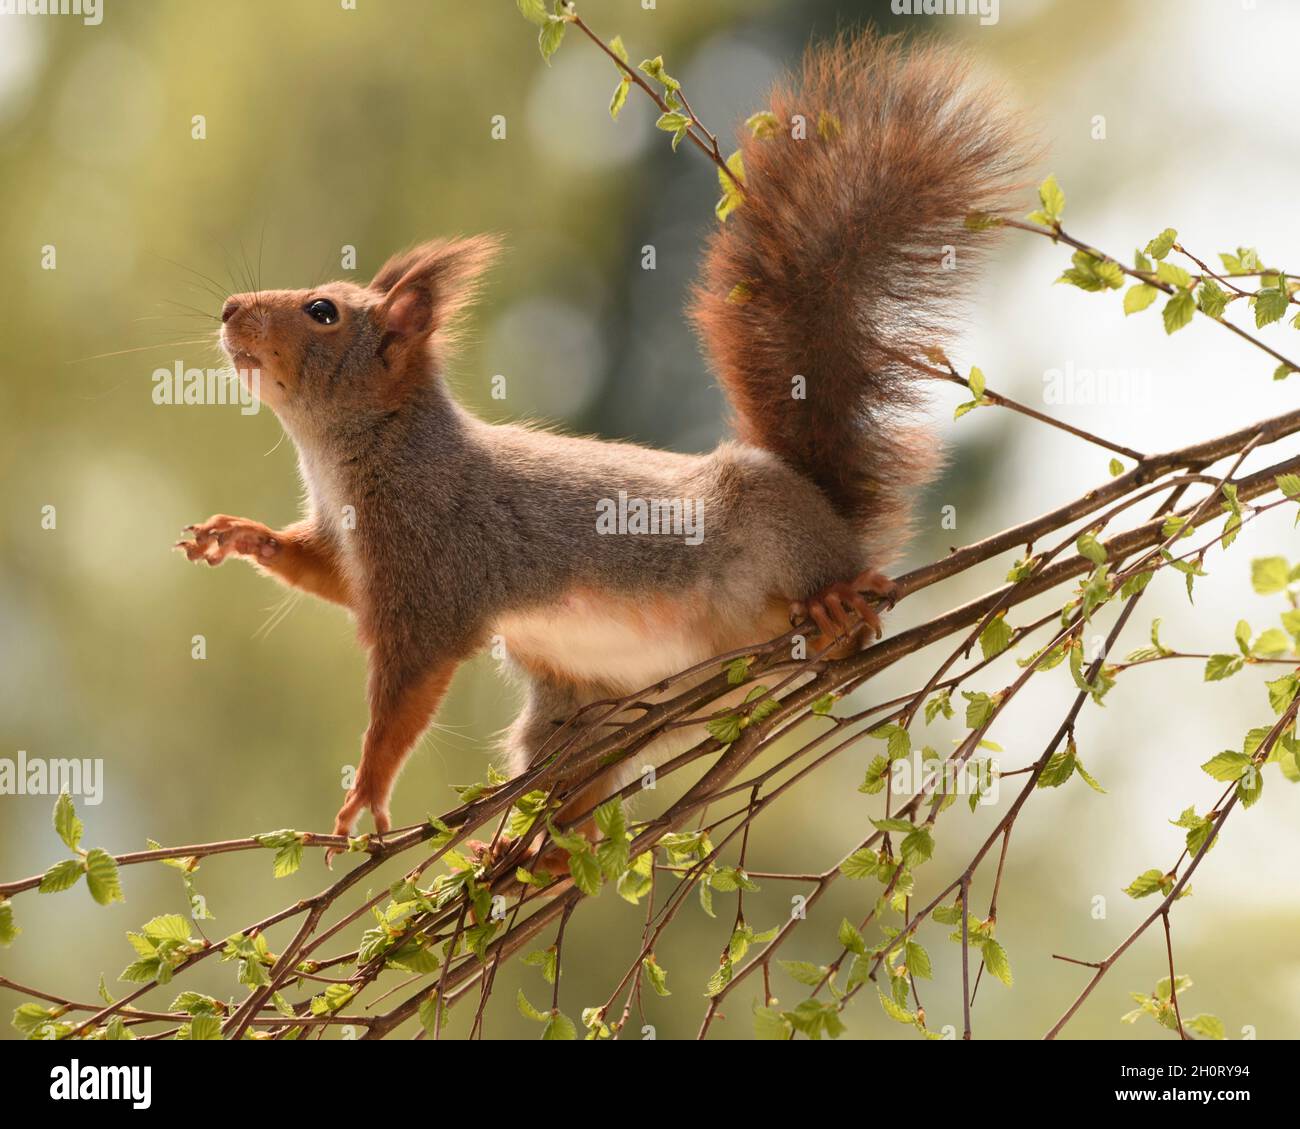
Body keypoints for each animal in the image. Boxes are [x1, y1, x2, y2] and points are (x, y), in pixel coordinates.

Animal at [176, 32, 1028, 864]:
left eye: (322, 312)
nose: (229, 309)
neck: (355, 454)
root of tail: (832, 515)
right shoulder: (355, 550)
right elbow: (324, 573)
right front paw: (237, 535)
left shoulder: (433, 569)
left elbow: (407, 688)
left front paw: (367, 791)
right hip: (588, 717)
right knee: (576, 786)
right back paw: (542, 848)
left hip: (770, 526)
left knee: (826, 590)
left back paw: (834, 608)